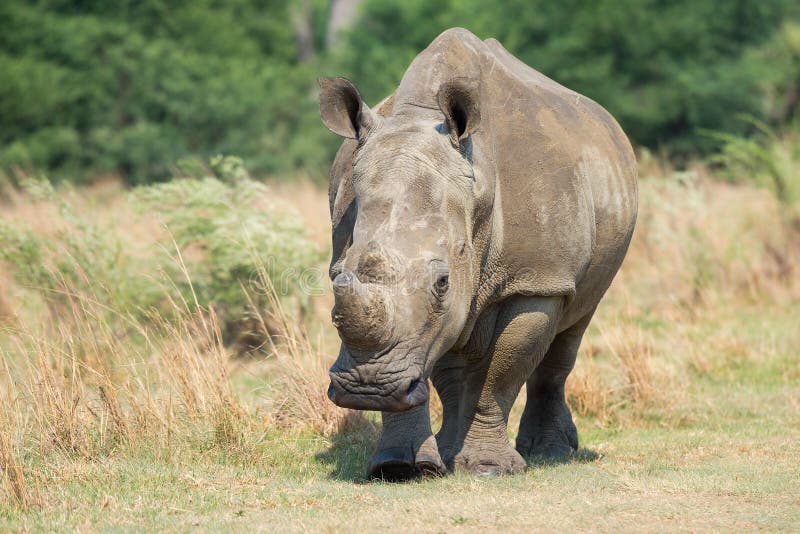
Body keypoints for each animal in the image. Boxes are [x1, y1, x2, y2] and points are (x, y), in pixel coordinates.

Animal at [318, 28, 637, 478]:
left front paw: (489, 468)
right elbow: (435, 359)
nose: (368, 388)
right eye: (337, 276)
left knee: (573, 327)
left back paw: (552, 452)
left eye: (441, 283)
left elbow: (501, 373)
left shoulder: (535, 280)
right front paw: (400, 468)